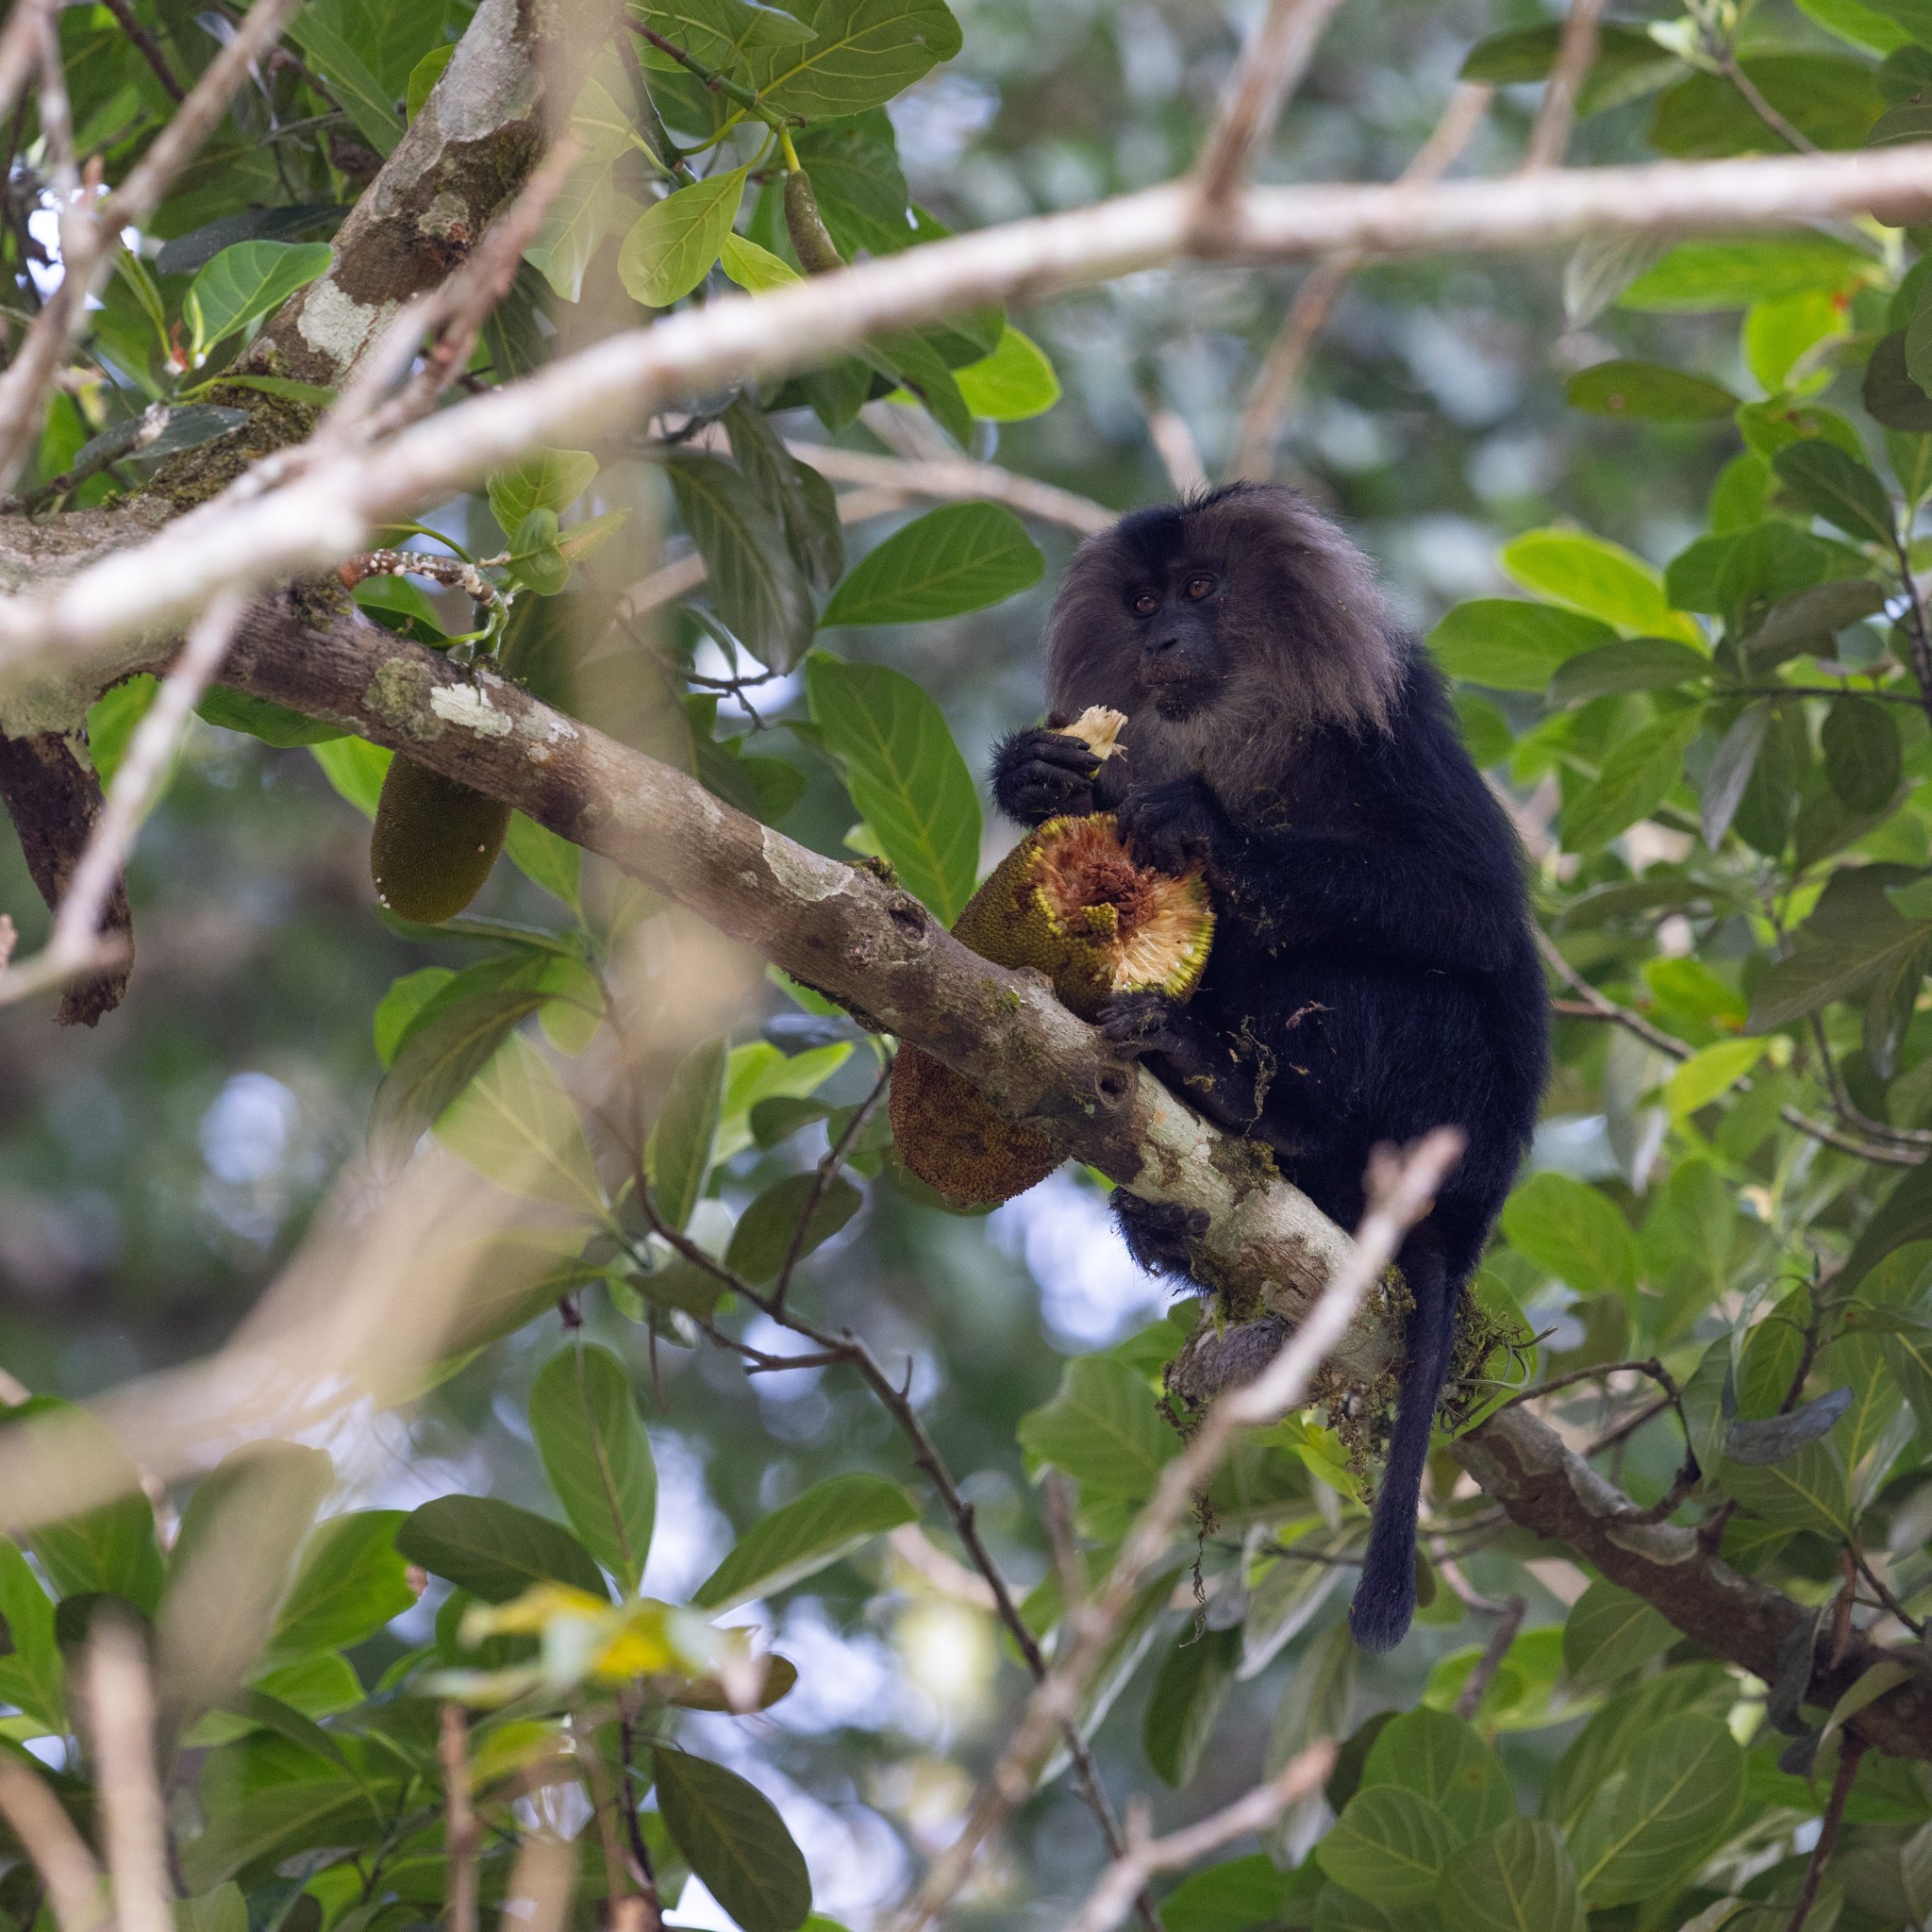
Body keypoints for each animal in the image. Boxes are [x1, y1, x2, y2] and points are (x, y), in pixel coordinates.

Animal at [991, 484, 1548, 1653]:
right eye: (1143, 601)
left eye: (1201, 589)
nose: (1161, 638)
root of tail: (1462, 1222)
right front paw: (1032, 777)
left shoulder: (1393, 724)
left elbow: (1469, 909)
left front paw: (1199, 822)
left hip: (1442, 1090)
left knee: (1360, 972)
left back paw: (1243, 1098)